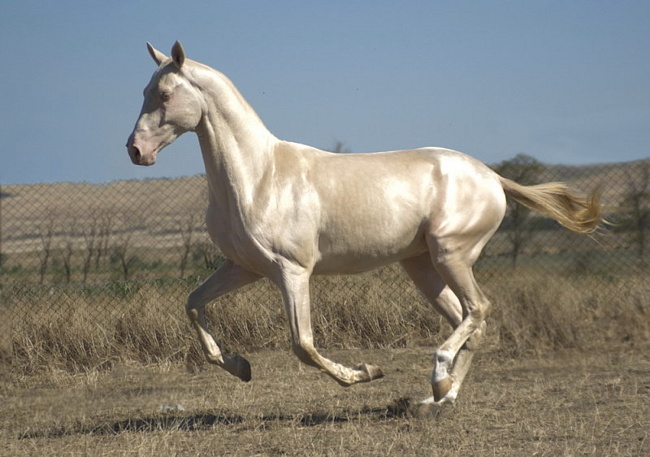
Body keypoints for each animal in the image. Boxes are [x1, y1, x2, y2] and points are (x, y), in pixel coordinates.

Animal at [126, 42, 603, 407]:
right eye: (145, 90)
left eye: (164, 94)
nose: (135, 150)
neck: (259, 176)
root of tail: (492, 177)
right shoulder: (243, 267)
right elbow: (193, 304)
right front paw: (240, 367)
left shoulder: (291, 271)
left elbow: (303, 345)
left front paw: (366, 372)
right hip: (424, 266)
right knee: (470, 322)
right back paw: (439, 399)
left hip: (451, 255)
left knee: (478, 312)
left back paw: (438, 378)